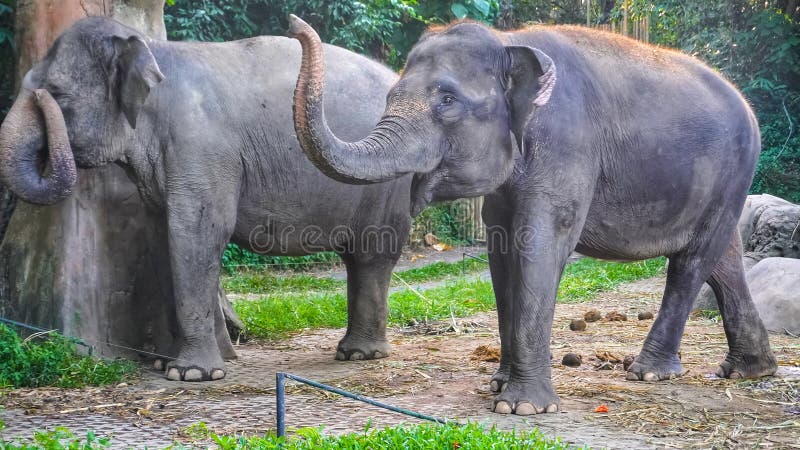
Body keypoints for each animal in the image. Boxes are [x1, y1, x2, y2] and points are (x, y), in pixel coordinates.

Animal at [0, 17, 415, 381]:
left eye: (56, 94)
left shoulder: (201, 147)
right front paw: (166, 364)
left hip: (388, 181)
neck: (155, 50)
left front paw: (193, 374)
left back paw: (360, 354)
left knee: (371, 254)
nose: (42, 95)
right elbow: (162, 236)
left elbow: (198, 231)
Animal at [288, 16, 778, 415]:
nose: (294, 24)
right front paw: (499, 384)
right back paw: (750, 371)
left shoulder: (567, 144)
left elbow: (540, 245)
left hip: (733, 170)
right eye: (391, 95)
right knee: (723, 257)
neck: (509, 42)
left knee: (692, 261)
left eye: (446, 100)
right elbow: (502, 251)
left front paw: (521, 407)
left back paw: (649, 372)